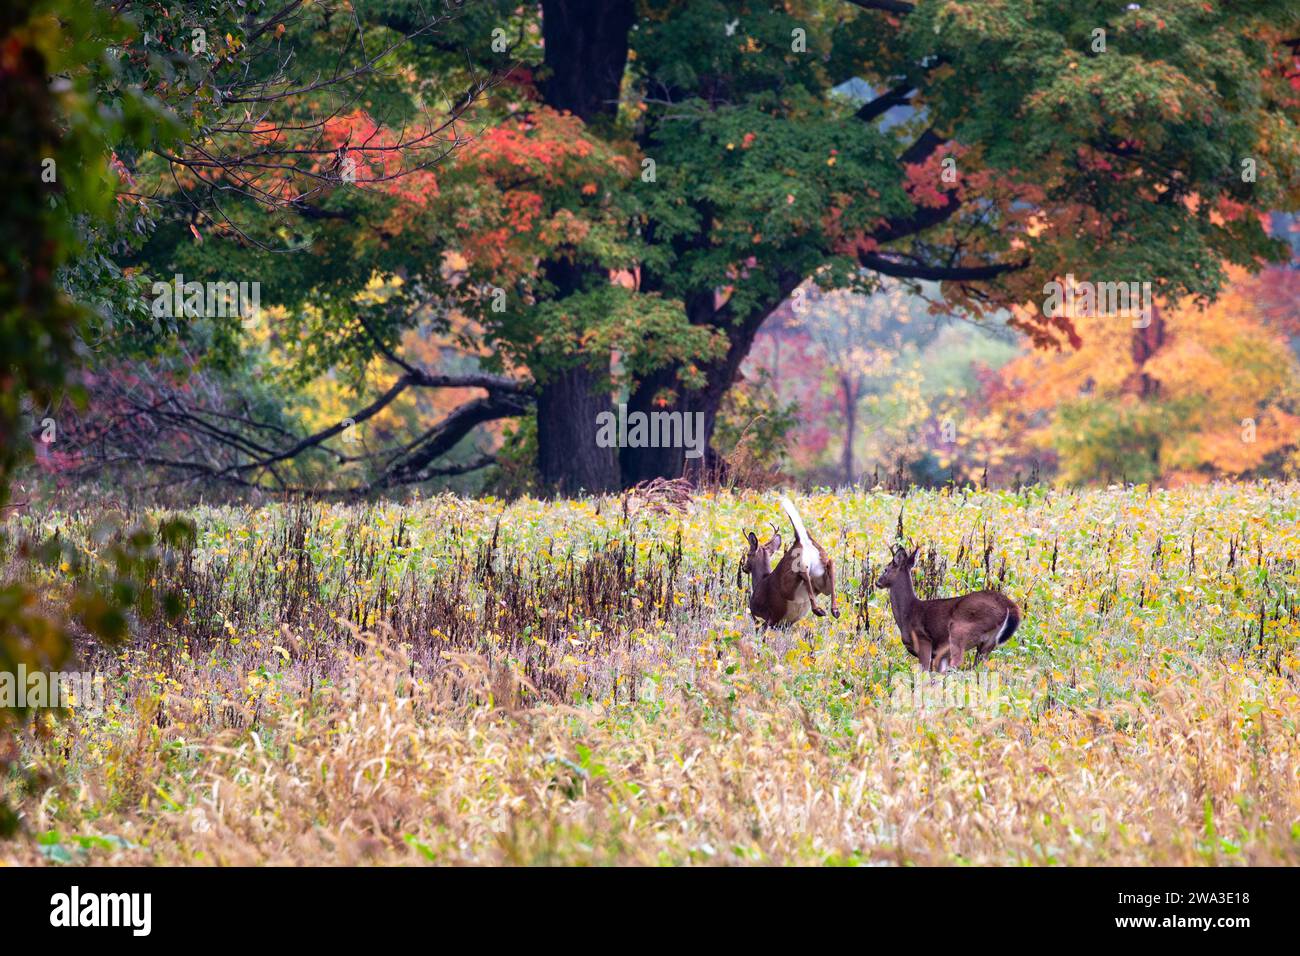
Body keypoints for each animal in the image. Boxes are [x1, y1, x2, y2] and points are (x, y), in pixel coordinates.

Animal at [875, 545, 1019, 672]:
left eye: (885, 569)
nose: (877, 582)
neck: (907, 612)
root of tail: (1009, 606)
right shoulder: (940, 654)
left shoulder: (924, 640)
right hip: (988, 643)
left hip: (960, 630)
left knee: (958, 663)